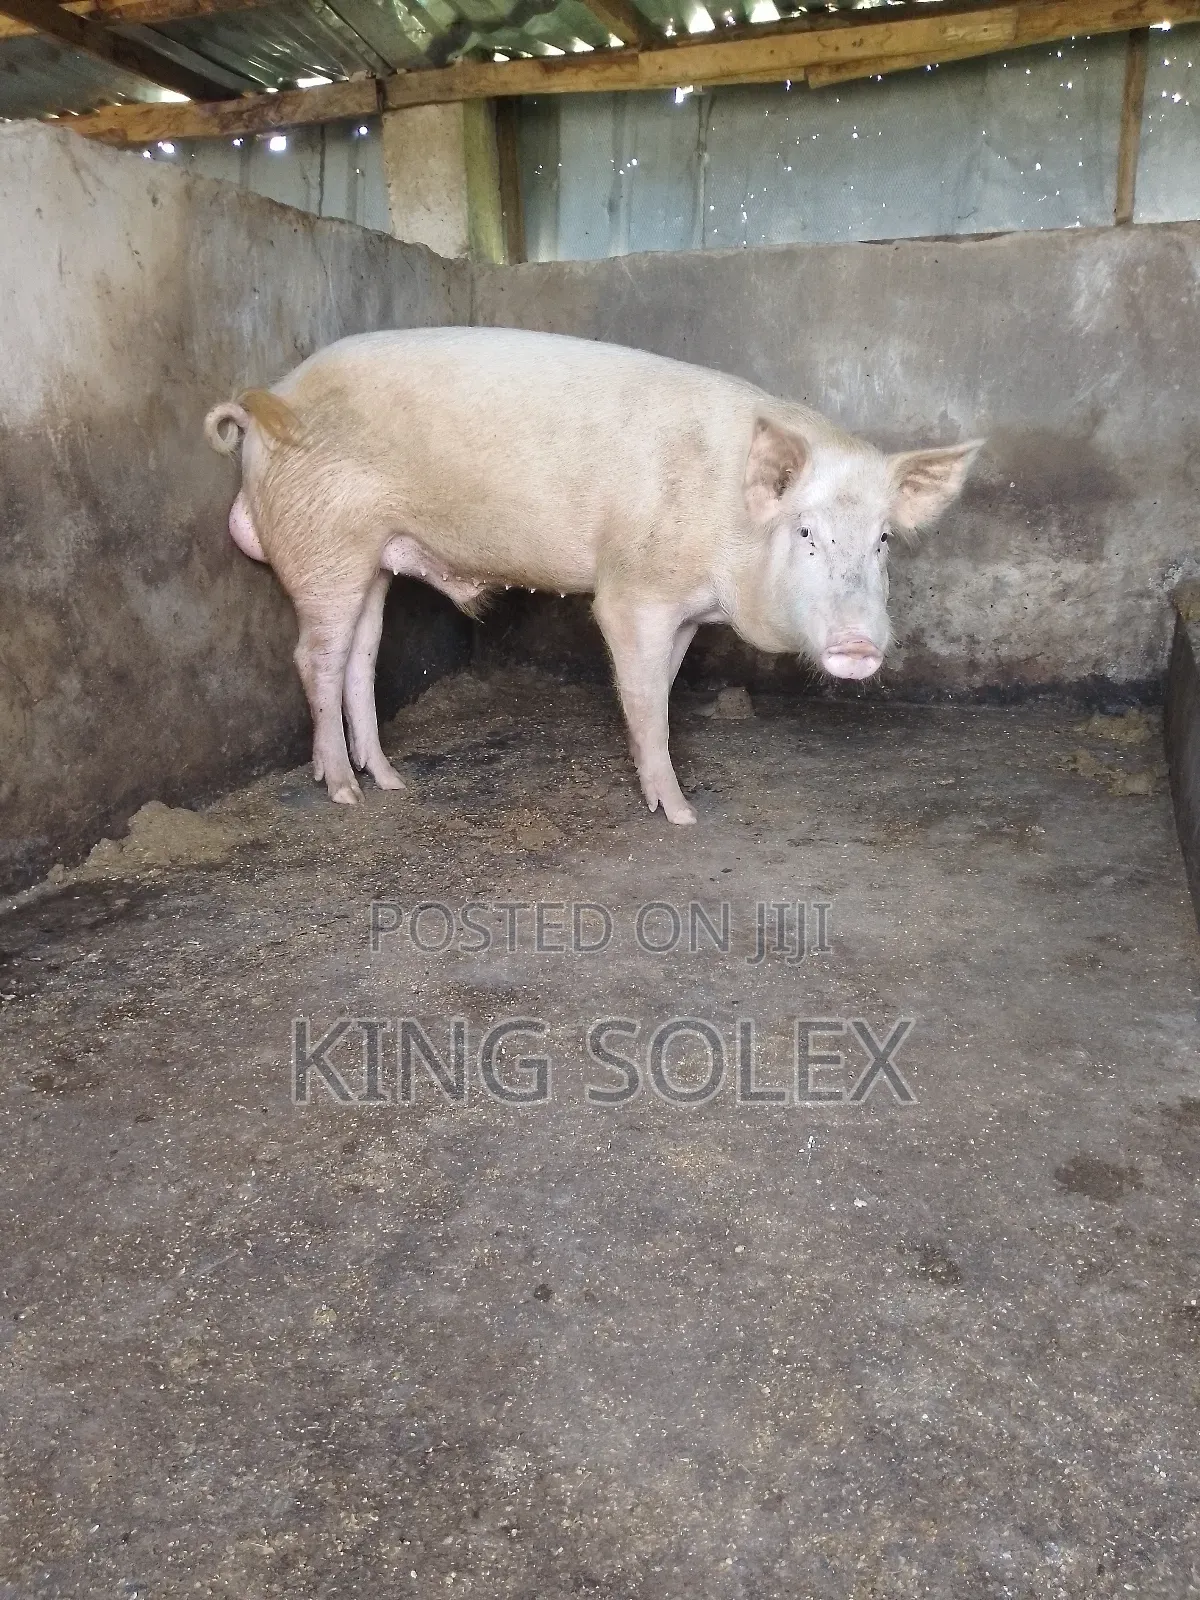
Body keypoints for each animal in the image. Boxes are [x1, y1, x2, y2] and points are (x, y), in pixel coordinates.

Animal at [205, 327, 980, 824]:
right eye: (806, 532)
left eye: (883, 540)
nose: (860, 646)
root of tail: (267, 404)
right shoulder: (634, 590)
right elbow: (639, 688)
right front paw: (682, 816)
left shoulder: (685, 610)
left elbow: (659, 689)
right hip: (323, 541)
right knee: (314, 657)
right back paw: (343, 793)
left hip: (369, 557)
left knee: (360, 659)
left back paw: (391, 783)